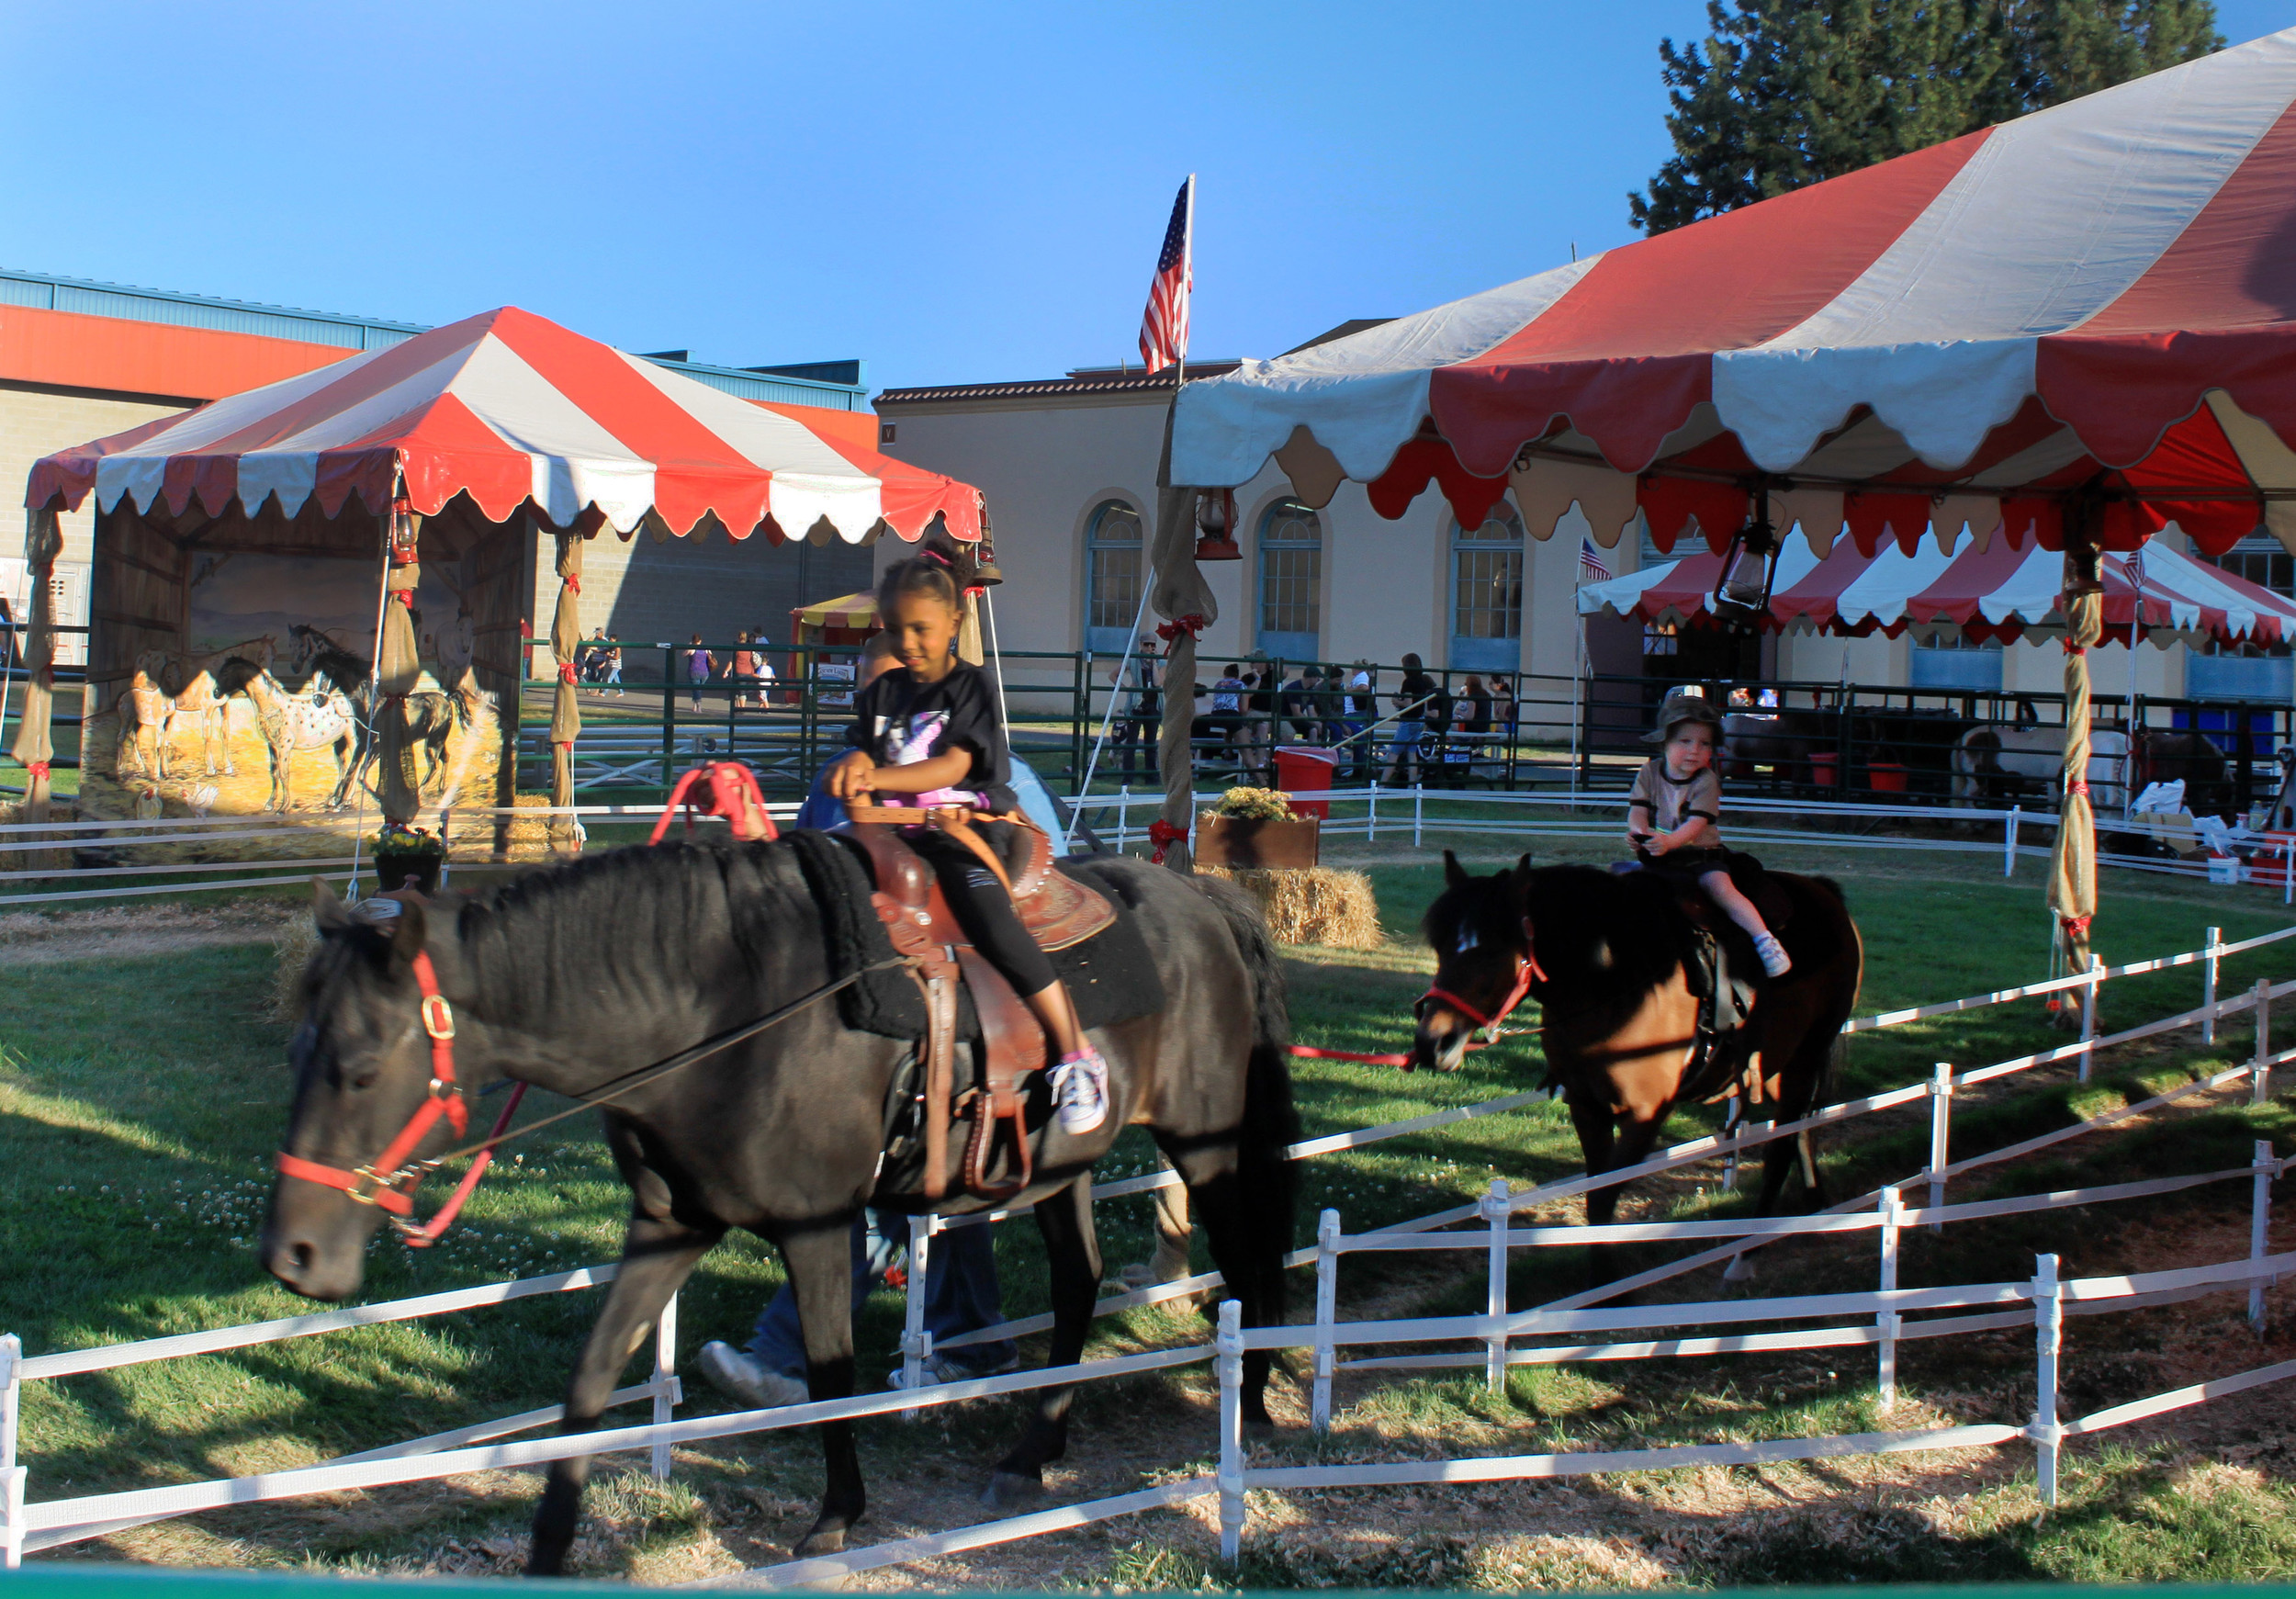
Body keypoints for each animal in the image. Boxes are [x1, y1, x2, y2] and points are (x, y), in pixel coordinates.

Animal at [259, 840, 1299, 1571]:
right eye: (297, 1046)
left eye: (360, 1068)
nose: (292, 1256)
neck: (719, 1008)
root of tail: (1200, 898)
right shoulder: (669, 1226)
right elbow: (589, 1382)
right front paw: (549, 1547)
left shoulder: (815, 1223)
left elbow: (832, 1370)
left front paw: (836, 1517)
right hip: (1056, 1169)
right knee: (1080, 1284)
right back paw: (1030, 1453)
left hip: (1204, 1141)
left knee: (1249, 1257)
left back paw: (1250, 1400)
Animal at [1413, 853, 1862, 1279]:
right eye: (1440, 948)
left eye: (1492, 953)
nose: (1433, 1042)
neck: (1613, 980)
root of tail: (1824, 892)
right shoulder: (1587, 1105)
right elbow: (1596, 1196)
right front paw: (1602, 1284)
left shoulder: (1646, 1112)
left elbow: (1605, 1198)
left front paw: (1611, 1291)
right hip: (1777, 1068)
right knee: (1802, 1130)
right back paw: (1812, 1204)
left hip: (1807, 1054)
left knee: (1783, 1146)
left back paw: (1746, 1255)